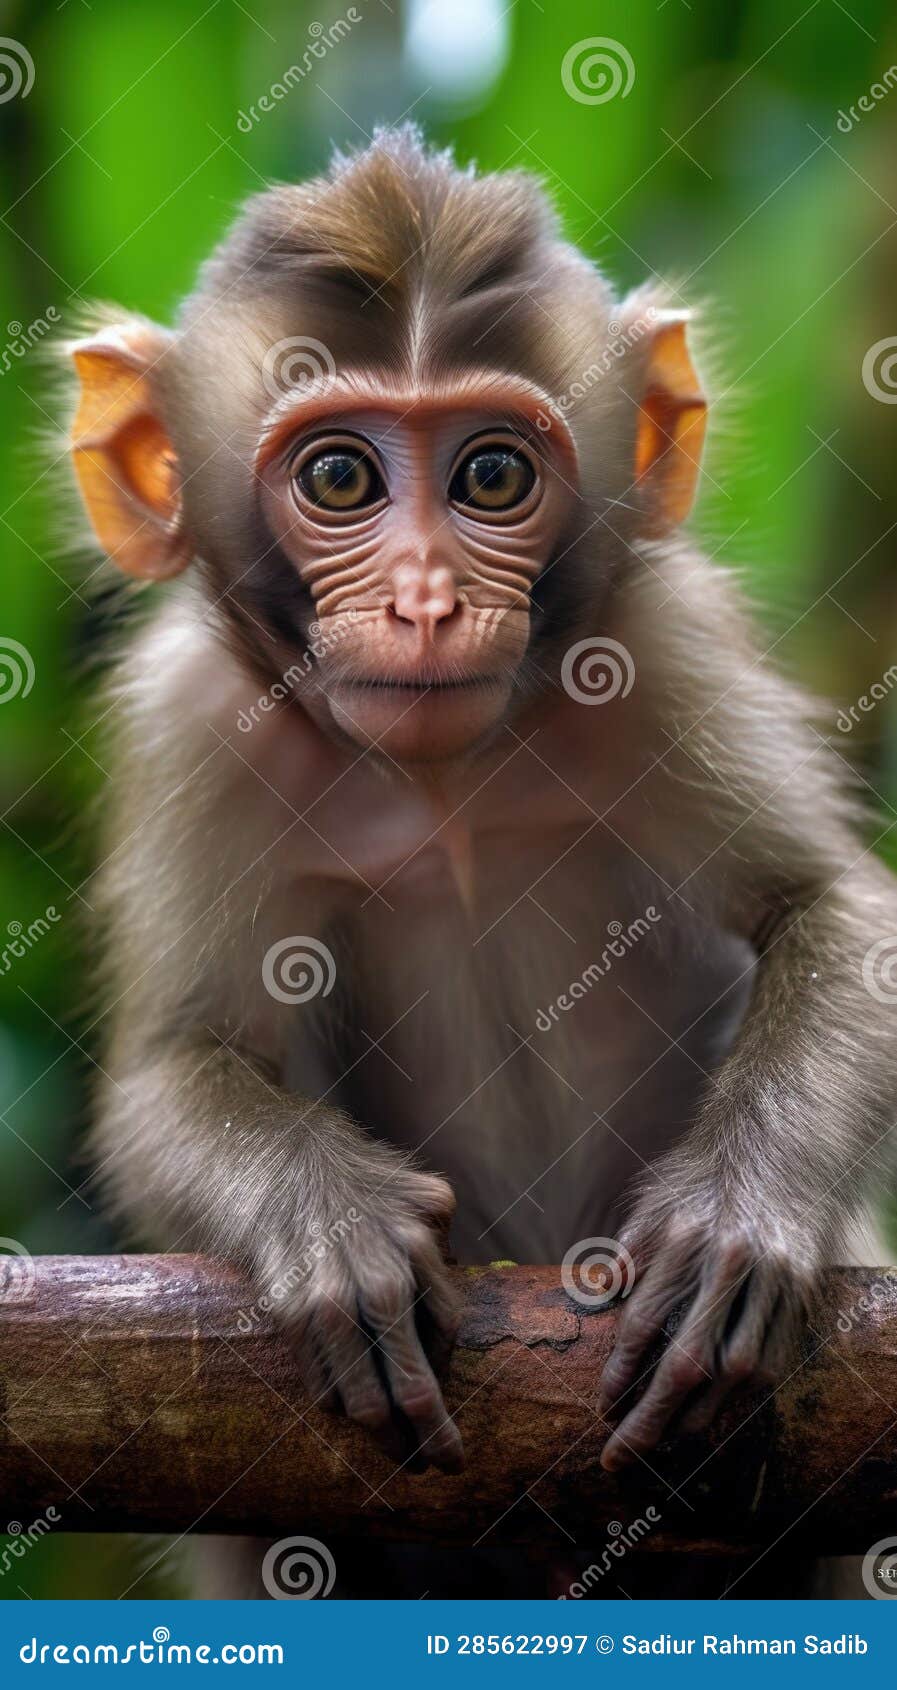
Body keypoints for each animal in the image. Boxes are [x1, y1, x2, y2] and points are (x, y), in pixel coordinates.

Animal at [66, 127, 894, 1595]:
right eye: (338, 478)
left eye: (492, 477)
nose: (426, 602)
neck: (442, 783)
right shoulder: (191, 726)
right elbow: (172, 1059)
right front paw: (331, 1224)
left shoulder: (665, 641)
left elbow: (830, 905)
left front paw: (734, 1221)